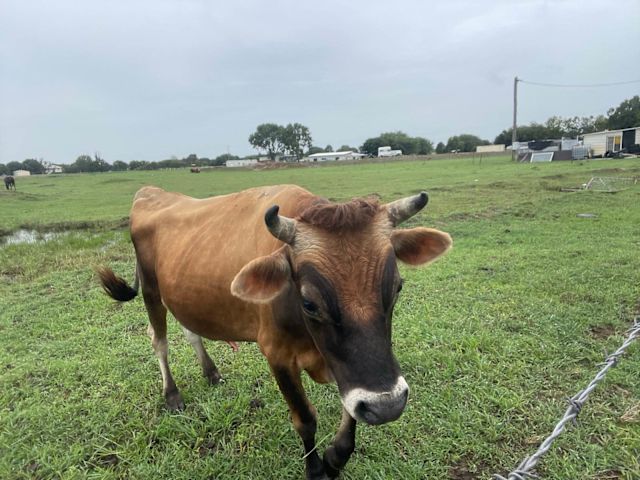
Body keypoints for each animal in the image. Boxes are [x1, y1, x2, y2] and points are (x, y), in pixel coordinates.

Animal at [98, 185, 452, 479]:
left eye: (397, 287)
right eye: (309, 302)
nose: (387, 406)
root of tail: (150, 192)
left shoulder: (342, 364)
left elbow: (350, 408)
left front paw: (336, 456)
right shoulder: (277, 355)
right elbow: (305, 418)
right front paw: (315, 470)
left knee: (191, 331)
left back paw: (210, 372)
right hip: (151, 291)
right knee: (159, 341)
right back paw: (172, 394)